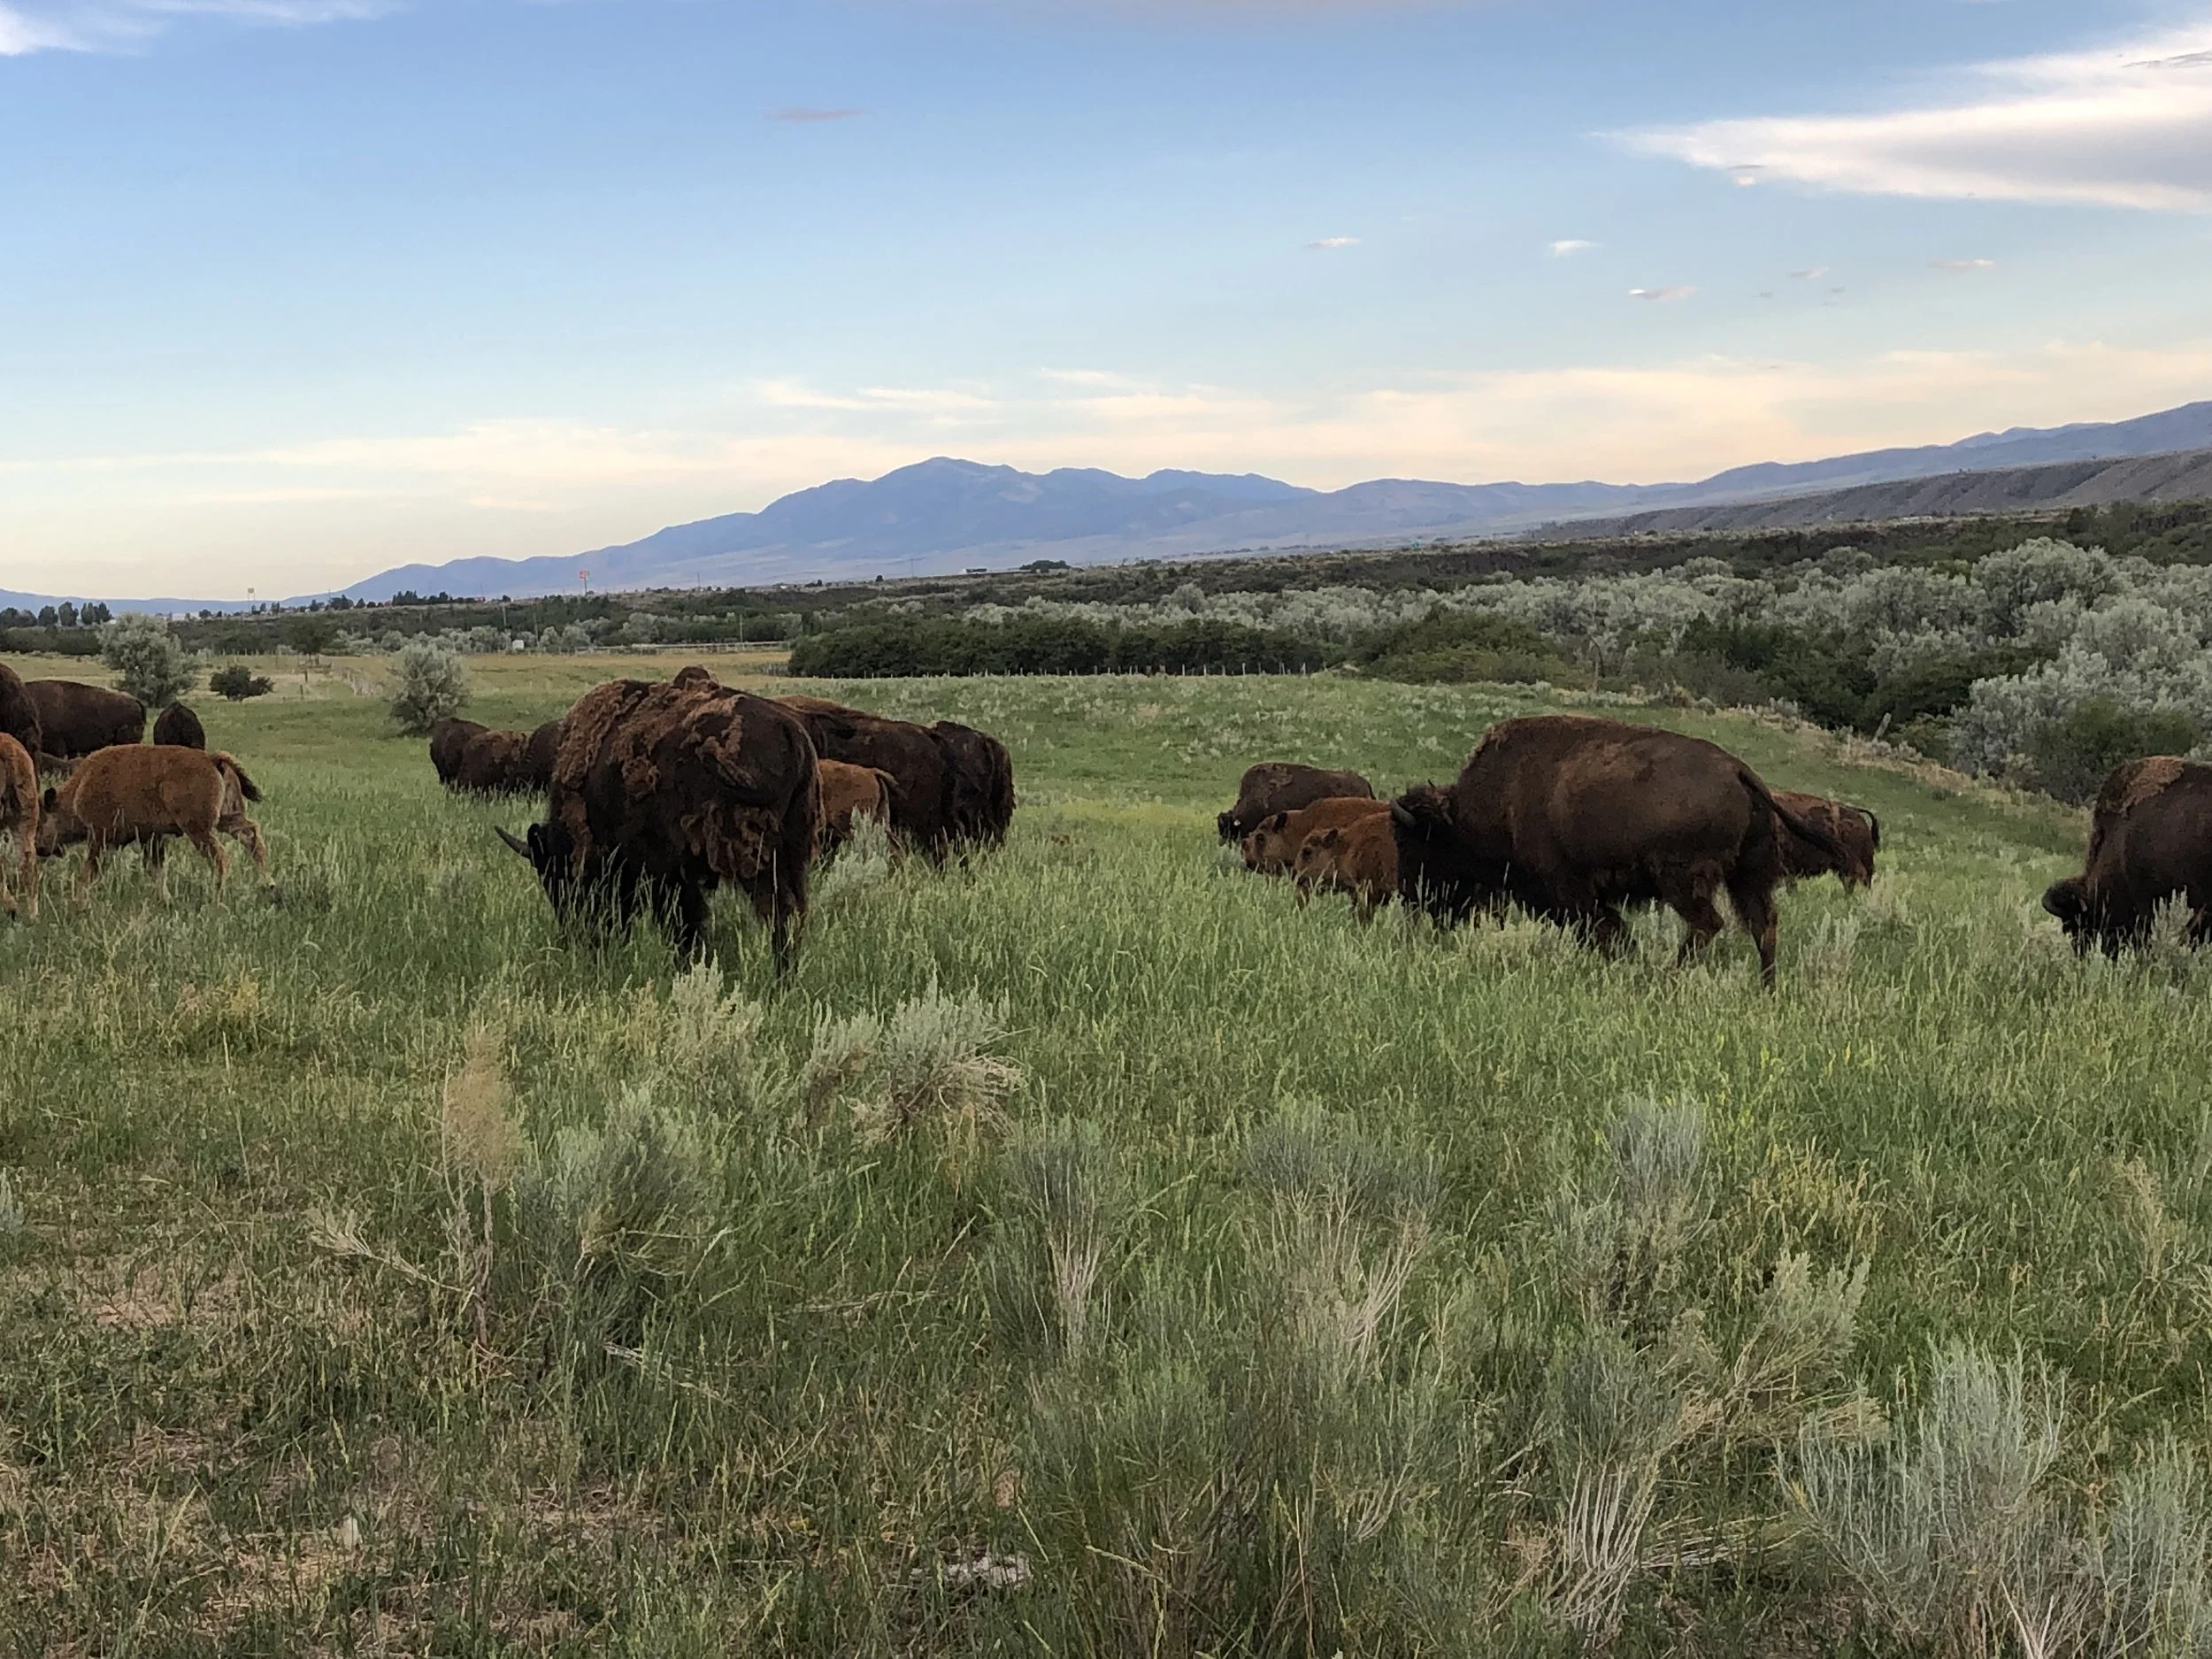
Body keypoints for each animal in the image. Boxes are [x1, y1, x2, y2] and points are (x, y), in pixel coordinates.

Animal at [39, 745, 267, 894]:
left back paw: (217, 892)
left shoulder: (100, 836)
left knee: (220, 857)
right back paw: (268, 883)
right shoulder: (151, 836)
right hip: (227, 818)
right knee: (251, 835)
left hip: (198, 829)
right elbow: (155, 869)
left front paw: (79, 904)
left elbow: (89, 871)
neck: (81, 786)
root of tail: (212, 758)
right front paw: (165, 900)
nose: (40, 849)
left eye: (42, 821)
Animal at [499, 676, 820, 971]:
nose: (572, 935)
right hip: (792, 856)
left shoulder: (663, 873)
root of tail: (790, 731)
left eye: (556, 877)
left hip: (755, 860)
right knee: (794, 914)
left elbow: (683, 922)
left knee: (778, 912)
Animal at [1390, 715, 1844, 986]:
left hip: (1682, 879)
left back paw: (1667, 977)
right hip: (1748, 876)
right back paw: (1767, 988)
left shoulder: (1567, 890)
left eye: (1417, 845)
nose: (1413, 895)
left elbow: (1602, 929)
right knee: (1762, 924)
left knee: (1708, 923)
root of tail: (1739, 770)